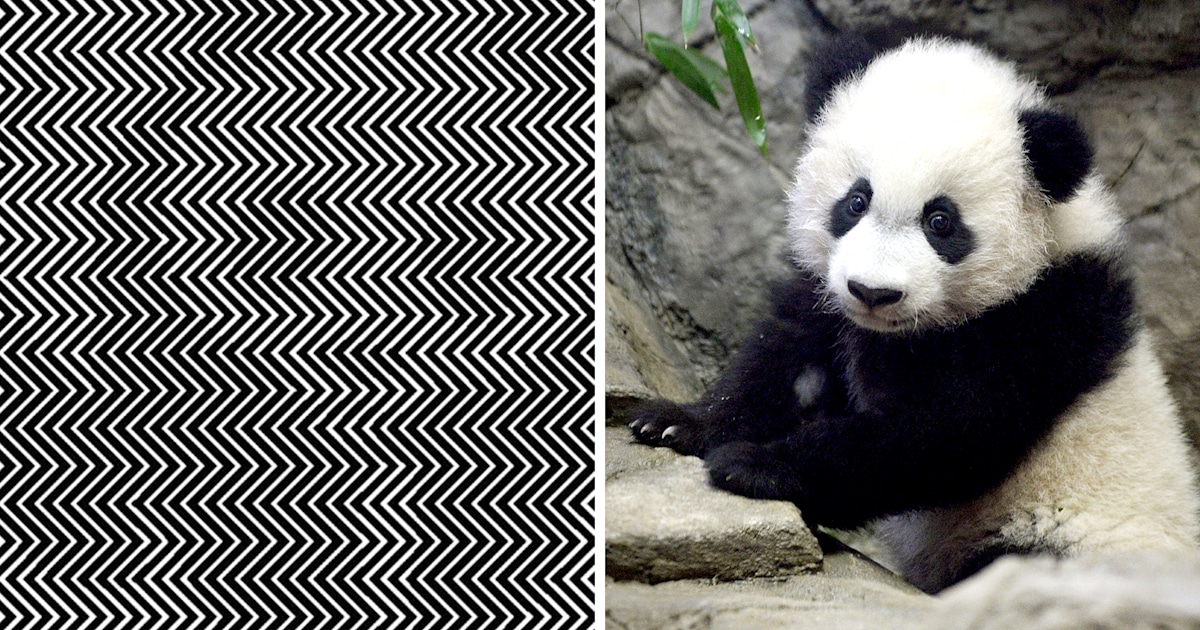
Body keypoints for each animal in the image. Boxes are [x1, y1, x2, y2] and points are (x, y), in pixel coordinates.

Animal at [629, 34, 1200, 593]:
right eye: (856, 200)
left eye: (940, 221)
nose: (872, 292)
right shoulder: (831, 300)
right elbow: (786, 358)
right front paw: (678, 424)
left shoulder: (1046, 320)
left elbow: (937, 435)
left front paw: (753, 465)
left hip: (1073, 534)